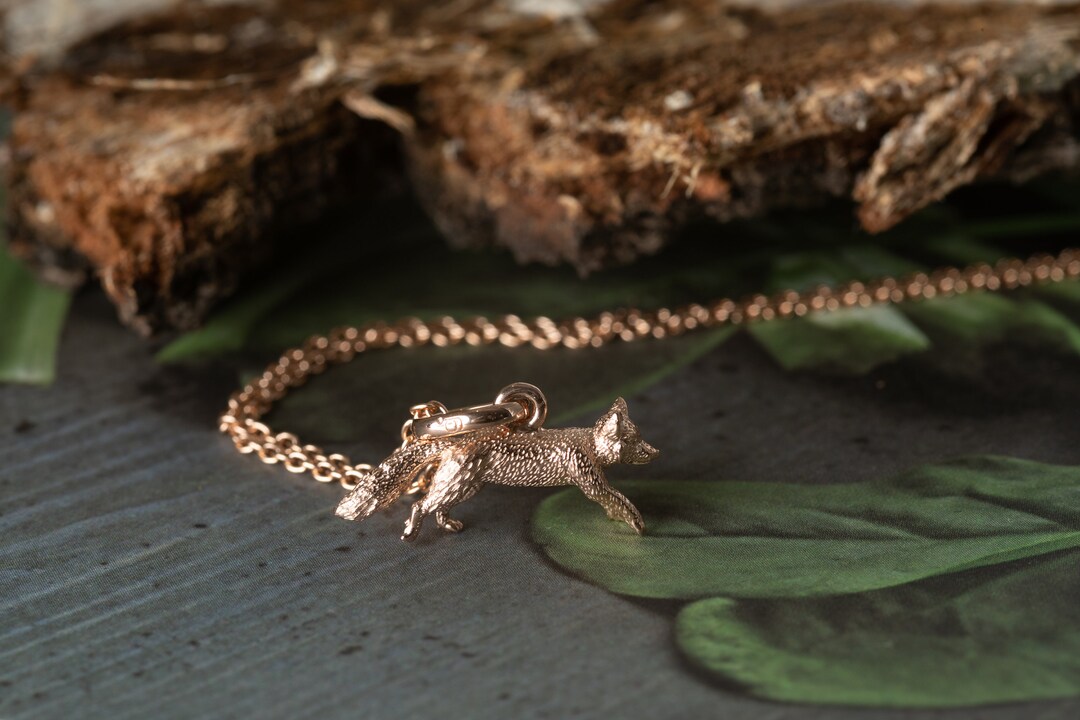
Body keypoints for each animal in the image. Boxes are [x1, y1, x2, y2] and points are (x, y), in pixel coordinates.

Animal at [335, 397, 659, 541]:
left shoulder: (596, 483)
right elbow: (619, 499)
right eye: (635, 441)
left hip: (465, 487)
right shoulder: (591, 482)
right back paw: (410, 533)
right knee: (419, 505)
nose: (656, 452)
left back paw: (449, 525)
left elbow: (615, 501)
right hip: (457, 485)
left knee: (438, 509)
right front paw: (637, 522)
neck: (590, 442)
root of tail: (457, 440)